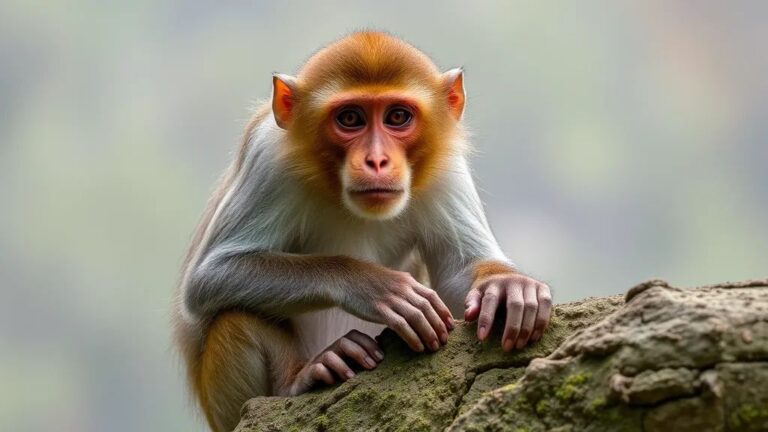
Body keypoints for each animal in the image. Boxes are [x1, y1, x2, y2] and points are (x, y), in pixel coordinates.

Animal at [172, 31, 552, 432]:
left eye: (397, 116)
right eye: (350, 118)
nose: (377, 160)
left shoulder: (444, 165)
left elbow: (457, 276)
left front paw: (507, 286)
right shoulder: (269, 160)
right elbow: (209, 277)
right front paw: (372, 285)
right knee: (234, 318)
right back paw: (302, 377)